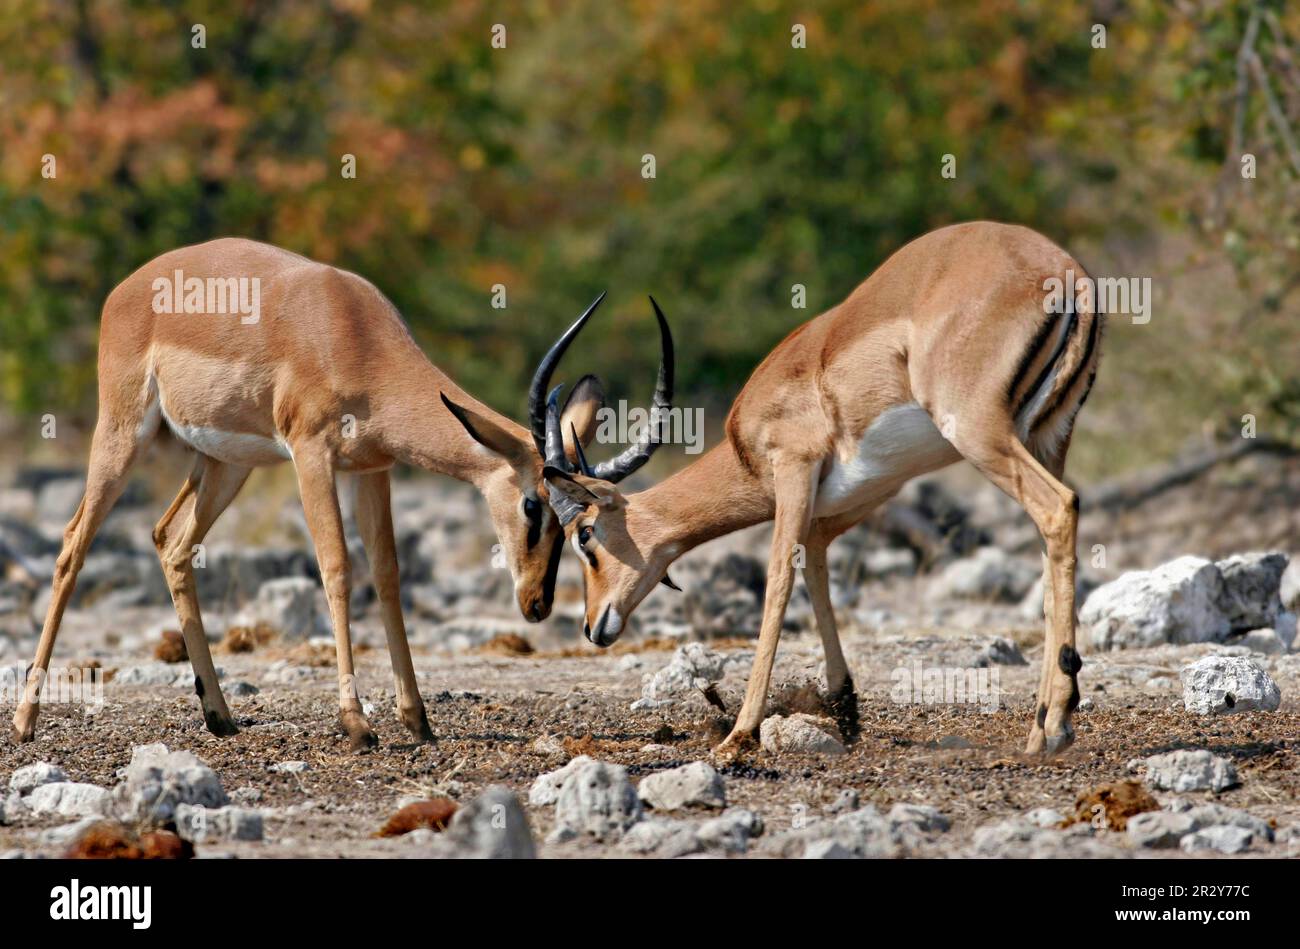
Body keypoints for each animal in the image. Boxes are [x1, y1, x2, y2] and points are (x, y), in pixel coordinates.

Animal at [11, 237, 614, 750]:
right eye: (533, 505)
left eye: (576, 523)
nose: (536, 604)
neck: (353, 334)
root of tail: (126, 288)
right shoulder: (312, 456)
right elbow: (337, 567)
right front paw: (357, 725)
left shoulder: (373, 468)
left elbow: (388, 573)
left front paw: (417, 719)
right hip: (123, 434)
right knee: (73, 545)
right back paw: (25, 720)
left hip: (226, 464)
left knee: (170, 541)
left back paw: (220, 716)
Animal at [540, 222, 1103, 759]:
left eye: (584, 536)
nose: (592, 627)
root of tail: (1068, 271)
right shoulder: (860, 496)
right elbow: (813, 562)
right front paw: (846, 713)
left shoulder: (794, 469)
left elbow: (777, 585)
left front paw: (740, 733)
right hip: (1047, 438)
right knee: (1049, 546)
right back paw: (1041, 730)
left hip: (980, 435)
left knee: (1060, 507)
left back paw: (1056, 723)